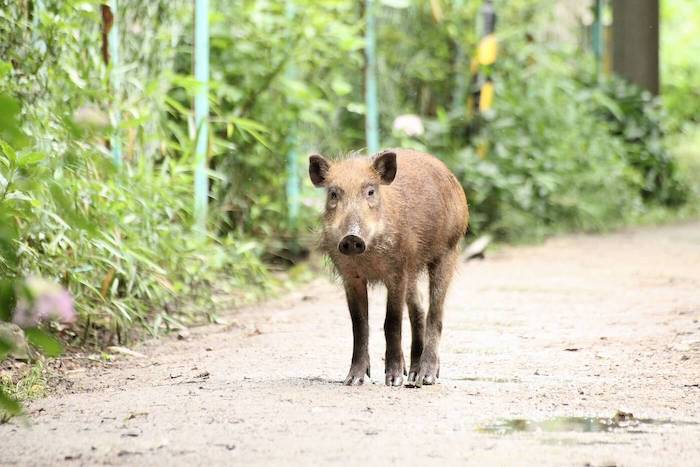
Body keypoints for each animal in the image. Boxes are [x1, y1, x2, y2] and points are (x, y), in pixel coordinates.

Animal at [308, 148, 468, 387]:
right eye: (334, 194)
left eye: (370, 192)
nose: (352, 238)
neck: (368, 257)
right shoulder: (350, 276)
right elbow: (359, 324)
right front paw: (353, 380)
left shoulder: (398, 271)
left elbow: (391, 322)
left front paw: (393, 381)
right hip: (415, 270)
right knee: (418, 309)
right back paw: (412, 375)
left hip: (448, 250)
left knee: (435, 312)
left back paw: (426, 378)